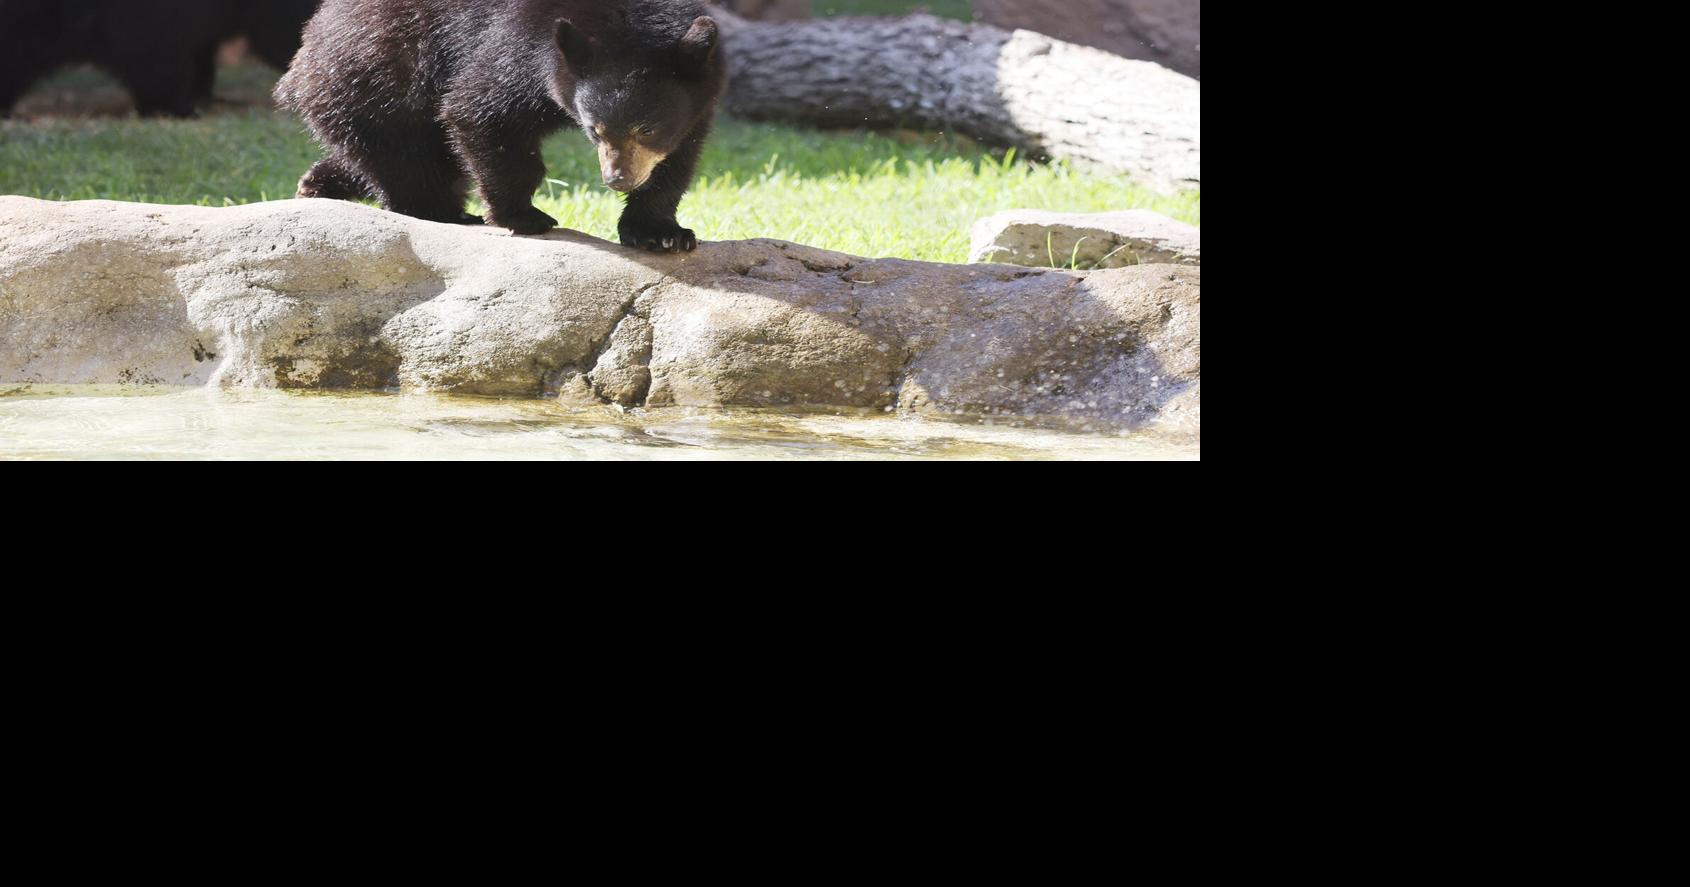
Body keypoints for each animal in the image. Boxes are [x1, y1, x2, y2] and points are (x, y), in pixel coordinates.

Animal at [274, 0, 726, 251]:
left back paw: (319, 183)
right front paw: (525, 217)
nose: (618, 179)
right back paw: (442, 212)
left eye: (647, 129)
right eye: (594, 129)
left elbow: (679, 157)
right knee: (404, 149)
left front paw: (663, 235)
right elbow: (480, 108)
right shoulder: (520, 43)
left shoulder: (699, 95)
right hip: (380, 66)